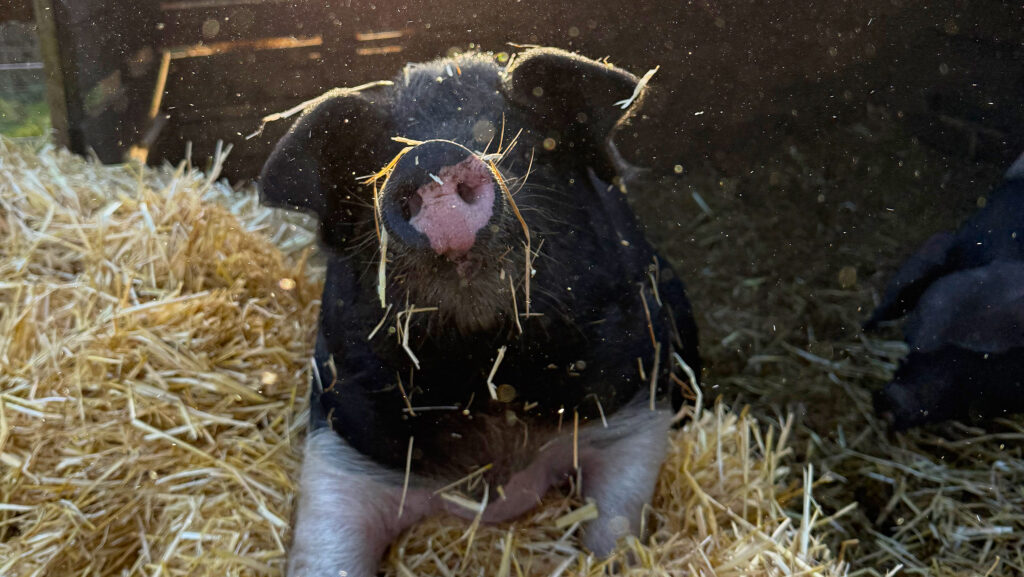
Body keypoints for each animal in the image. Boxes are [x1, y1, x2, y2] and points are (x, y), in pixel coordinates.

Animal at [259, 48, 701, 577]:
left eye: (516, 146)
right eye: (372, 170)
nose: (429, 155)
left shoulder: (636, 402)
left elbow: (615, 521)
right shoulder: (340, 445)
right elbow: (327, 547)